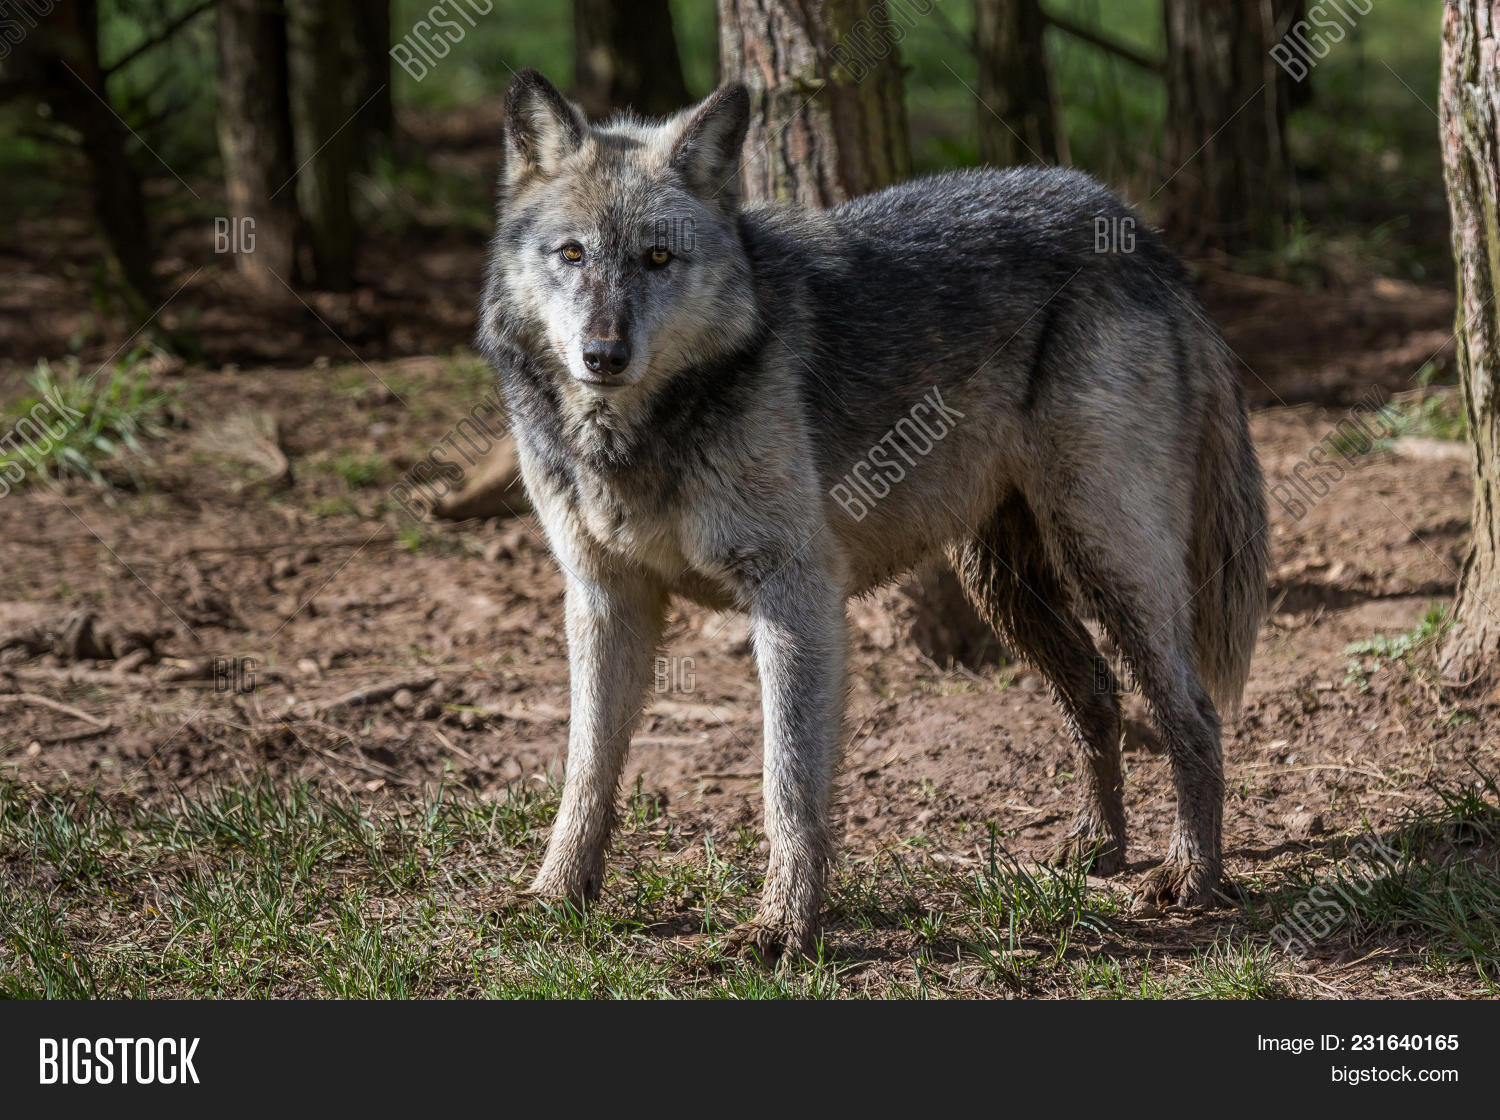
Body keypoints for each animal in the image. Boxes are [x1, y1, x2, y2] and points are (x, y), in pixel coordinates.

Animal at [477, 69, 1268, 960]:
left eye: (657, 258)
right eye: (572, 254)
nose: (603, 356)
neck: (638, 432)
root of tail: (1133, 226)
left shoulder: (795, 596)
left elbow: (788, 780)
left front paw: (784, 926)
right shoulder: (605, 598)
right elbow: (586, 768)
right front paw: (556, 893)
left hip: (1106, 559)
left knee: (1193, 714)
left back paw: (1190, 876)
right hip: (1005, 584)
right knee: (1097, 694)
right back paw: (1095, 846)